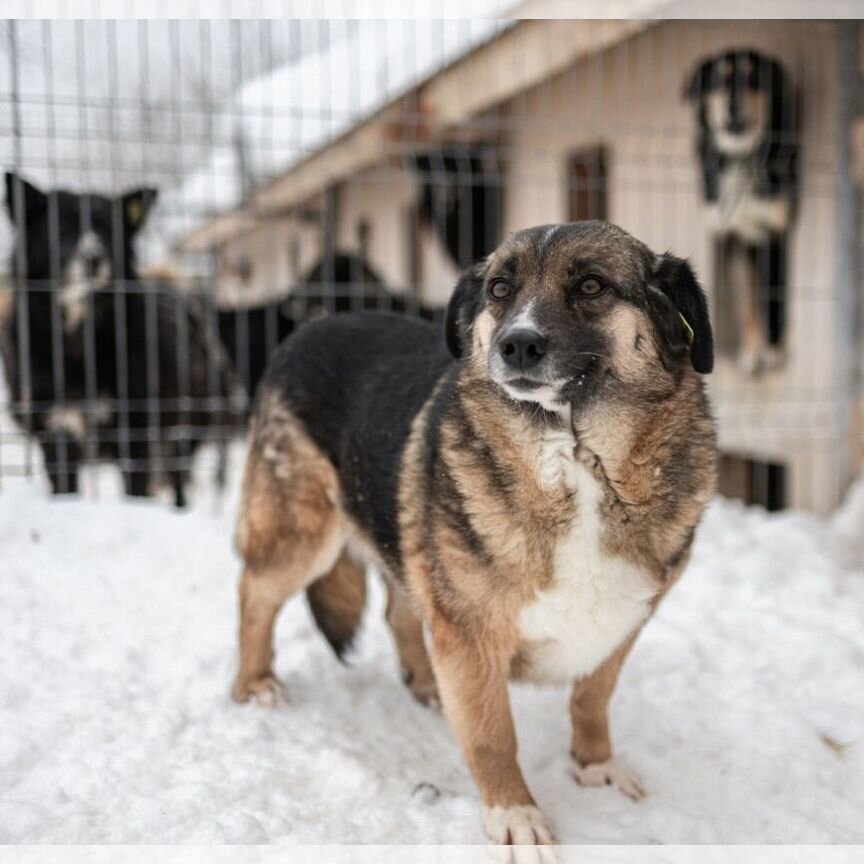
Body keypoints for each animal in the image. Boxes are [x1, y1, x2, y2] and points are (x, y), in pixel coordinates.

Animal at [2, 171, 243, 502]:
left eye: (107, 229)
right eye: (63, 227)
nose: (93, 257)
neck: (80, 342)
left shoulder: (136, 433)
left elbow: (136, 492)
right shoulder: (55, 434)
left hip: (185, 426)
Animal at [228, 221, 716, 844]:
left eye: (591, 285)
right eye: (500, 290)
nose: (518, 345)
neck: (575, 461)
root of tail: (310, 326)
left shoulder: (623, 621)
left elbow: (591, 698)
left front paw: (596, 766)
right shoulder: (469, 633)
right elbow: (492, 734)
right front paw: (515, 812)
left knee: (399, 611)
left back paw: (427, 685)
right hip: (303, 533)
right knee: (255, 594)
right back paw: (255, 684)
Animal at [684, 47, 800, 372]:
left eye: (753, 80)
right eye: (719, 82)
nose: (733, 106)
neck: (739, 158)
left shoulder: (773, 234)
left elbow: (769, 294)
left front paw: (774, 351)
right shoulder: (735, 237)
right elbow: (746, 299)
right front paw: (751, 354)